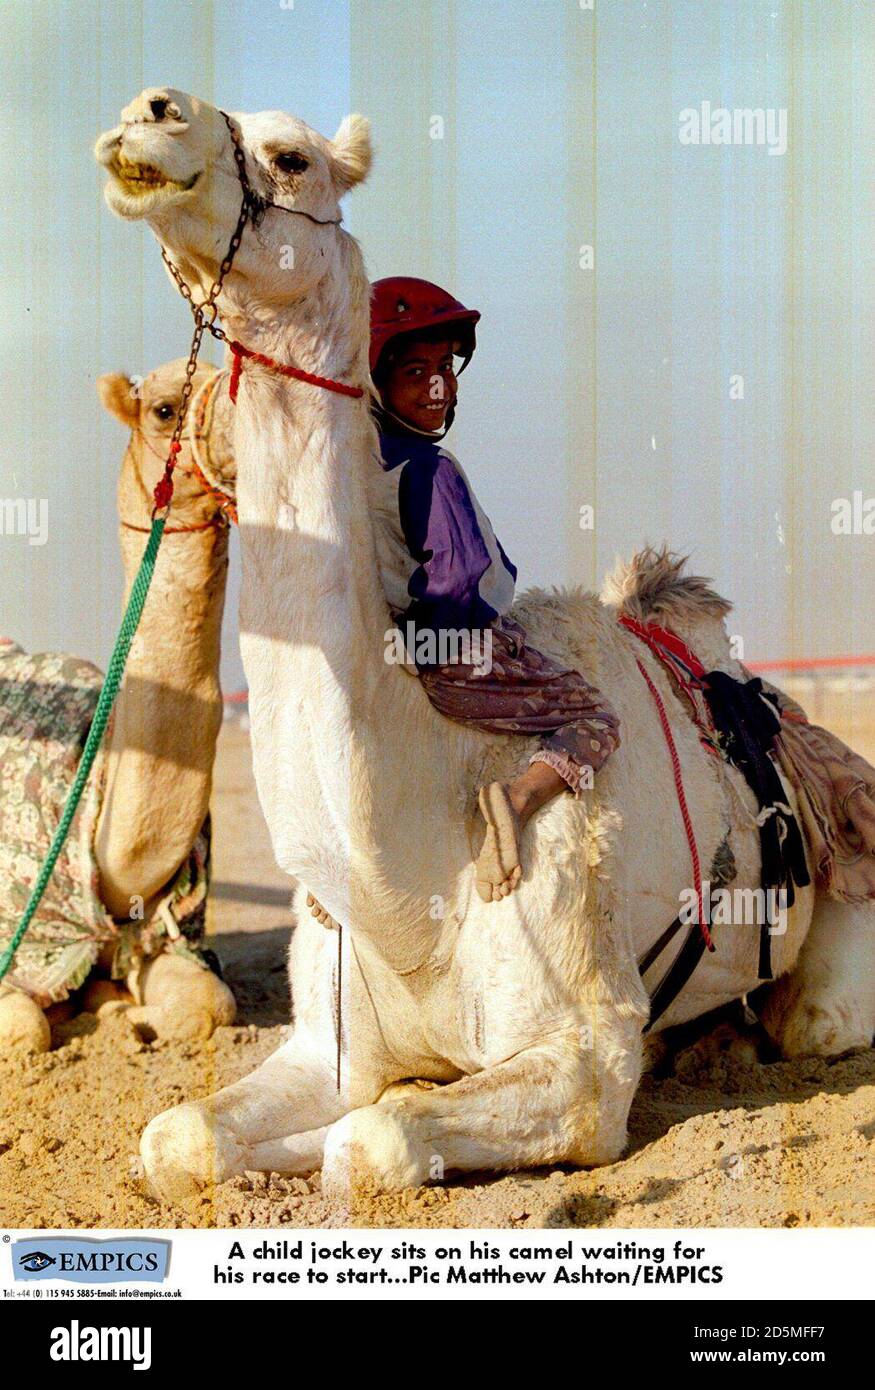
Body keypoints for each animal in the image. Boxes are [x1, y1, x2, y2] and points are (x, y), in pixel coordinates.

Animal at [0, 358, 237, 1053]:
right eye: (165, 409)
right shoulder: (30, 937)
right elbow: (25, 1027)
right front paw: (95, 1012)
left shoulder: (169, 923)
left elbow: (212, 1004)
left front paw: (122, 1013)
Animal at [94, 89, 874, 1204]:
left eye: (289, 156)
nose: (149, 115)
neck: (406, 881)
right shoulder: (328, 1043)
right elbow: (182, 1135)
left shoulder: (582, 1051)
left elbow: (370, 1139)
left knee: (812, 1018)